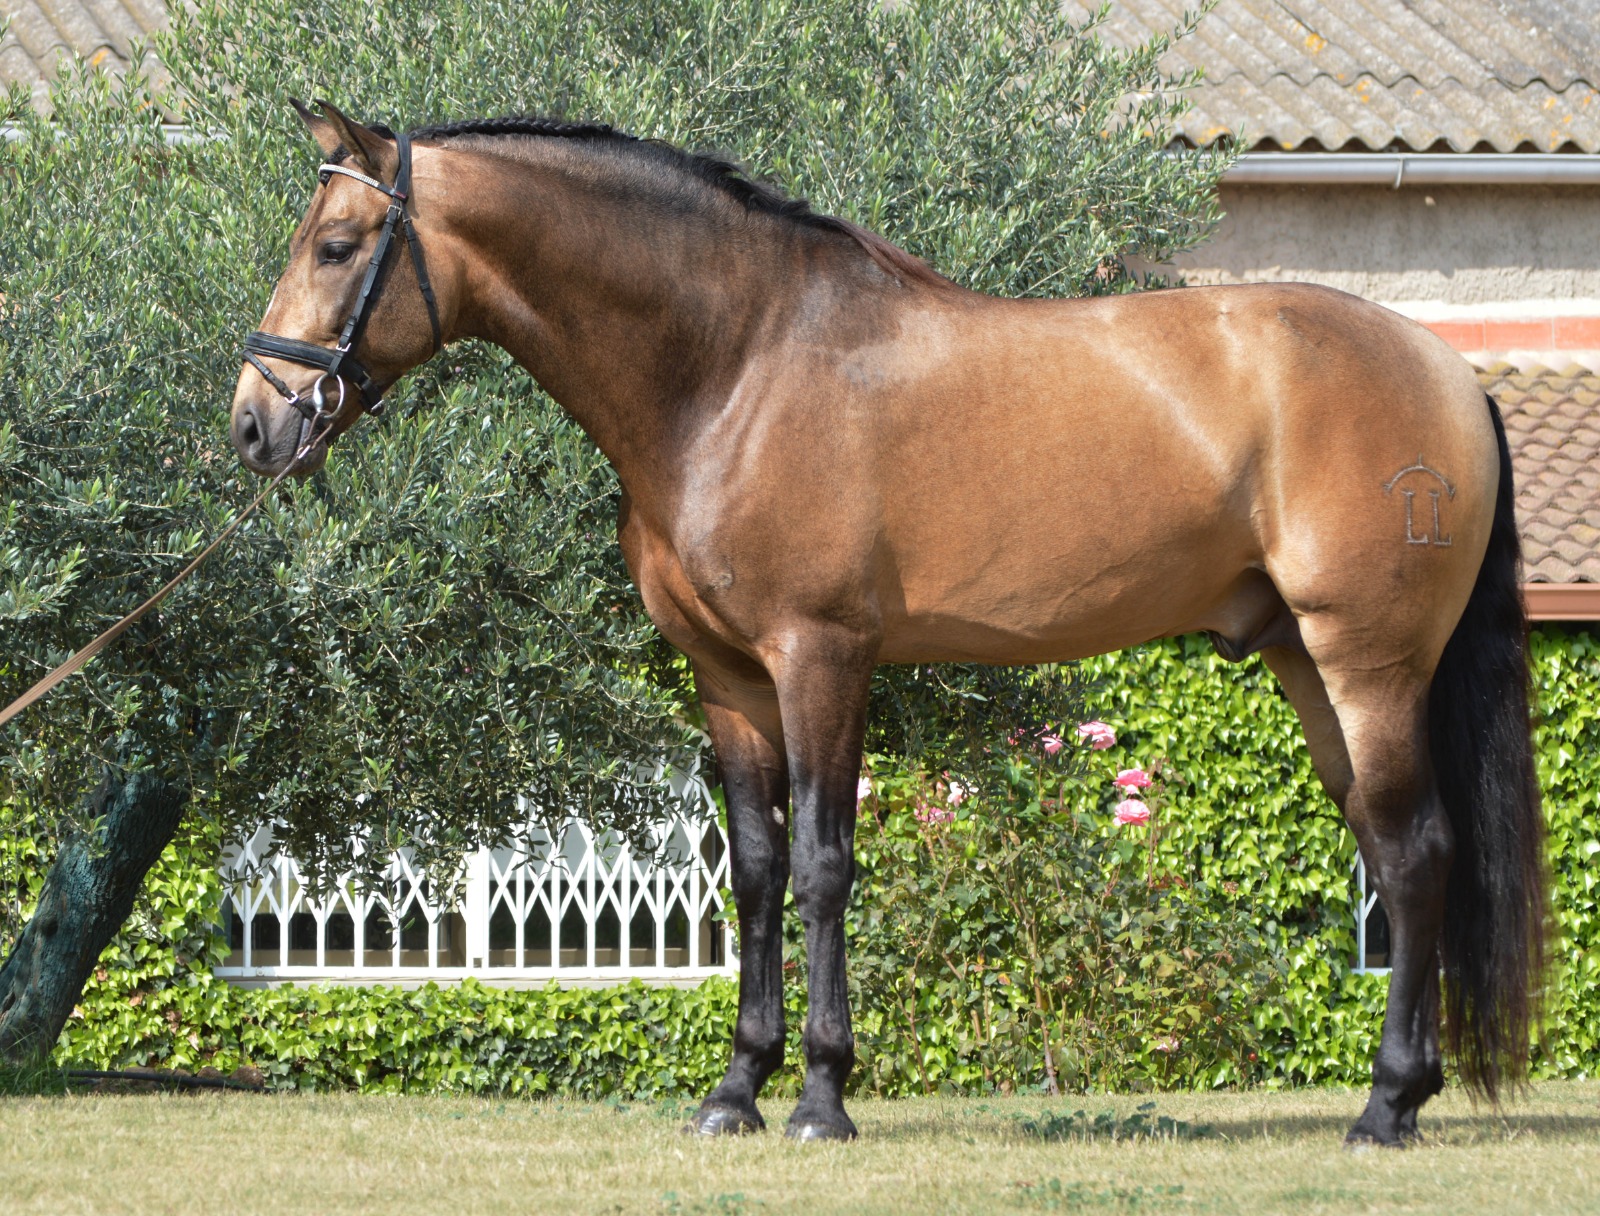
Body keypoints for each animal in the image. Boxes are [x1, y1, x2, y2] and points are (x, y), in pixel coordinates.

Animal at [231, 101, 1544, 1145]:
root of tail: (1447, 373)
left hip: (1367, 663)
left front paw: (820, 1095)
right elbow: (755, 871)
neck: (735, 366)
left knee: (1414, 854)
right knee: (1392, 848)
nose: (255, 424)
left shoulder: (821, 656)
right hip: (1304, 664)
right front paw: (736, 1090)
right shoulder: (727, 679)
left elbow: (822, 866)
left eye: (338, 245)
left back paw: (1384, 1108)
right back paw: (1402, 1094)